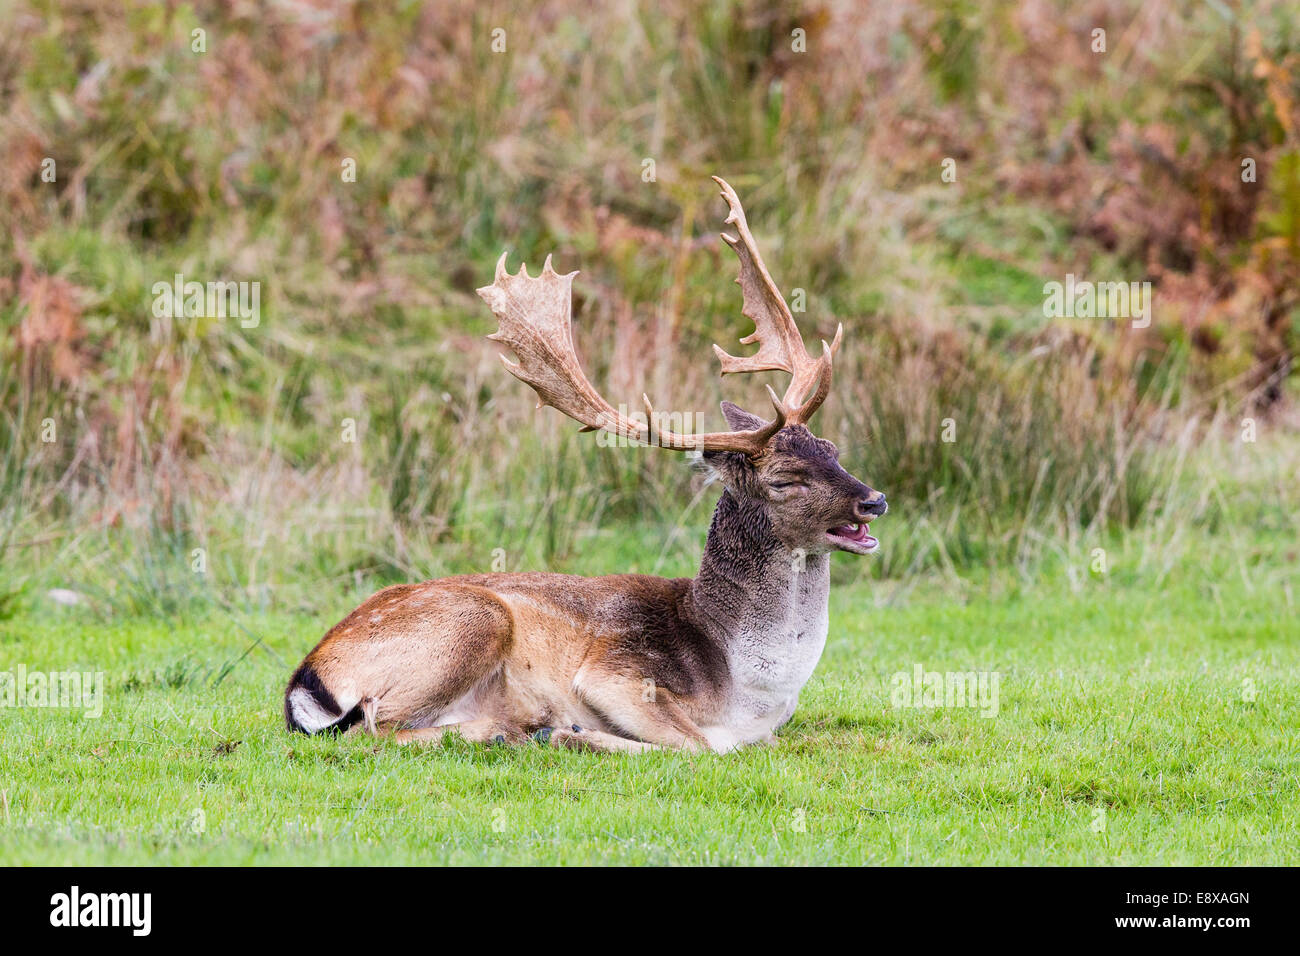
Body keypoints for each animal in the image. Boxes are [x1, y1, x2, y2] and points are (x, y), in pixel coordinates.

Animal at [283, 177, 887, 753]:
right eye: (784, 479)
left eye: (832, 449)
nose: (874, 500)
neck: (751, 691)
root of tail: (305, 680)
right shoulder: (615, 673)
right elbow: (701, 747)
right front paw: (574, 733)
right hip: (472, 619)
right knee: (368, 730)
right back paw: (512, 729)